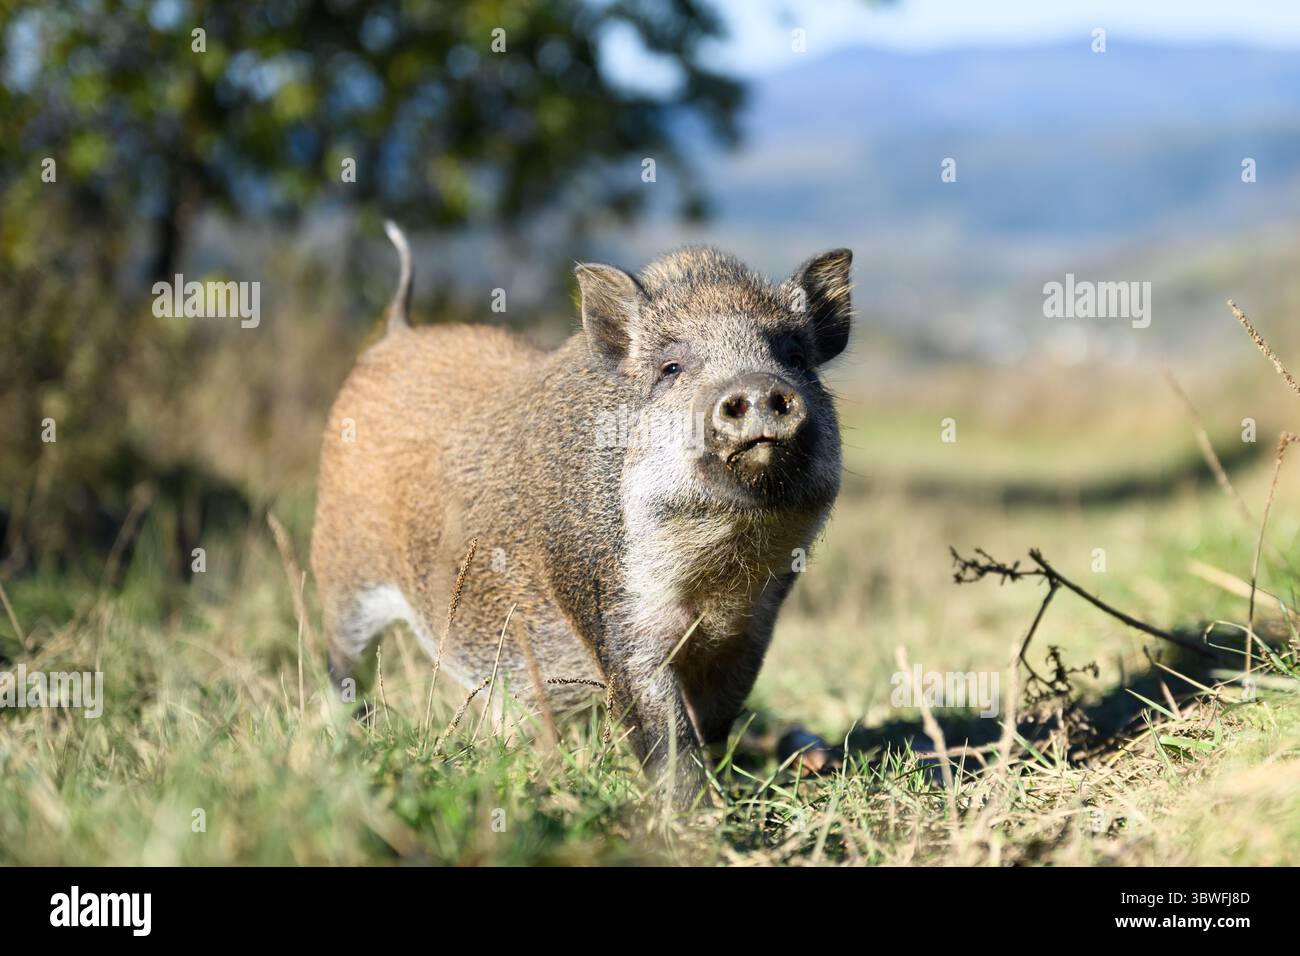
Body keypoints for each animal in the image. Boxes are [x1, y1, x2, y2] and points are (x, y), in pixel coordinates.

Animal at [311, 222, 852, 804]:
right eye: (671, 367)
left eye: (795, 357)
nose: (755, 385)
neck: (717, 571)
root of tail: (395, 332)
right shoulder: (605, 601)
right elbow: (659, 720)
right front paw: (692, 813)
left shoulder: (754, 622)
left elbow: (714, 717)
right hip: (342, 578)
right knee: (342, 667)